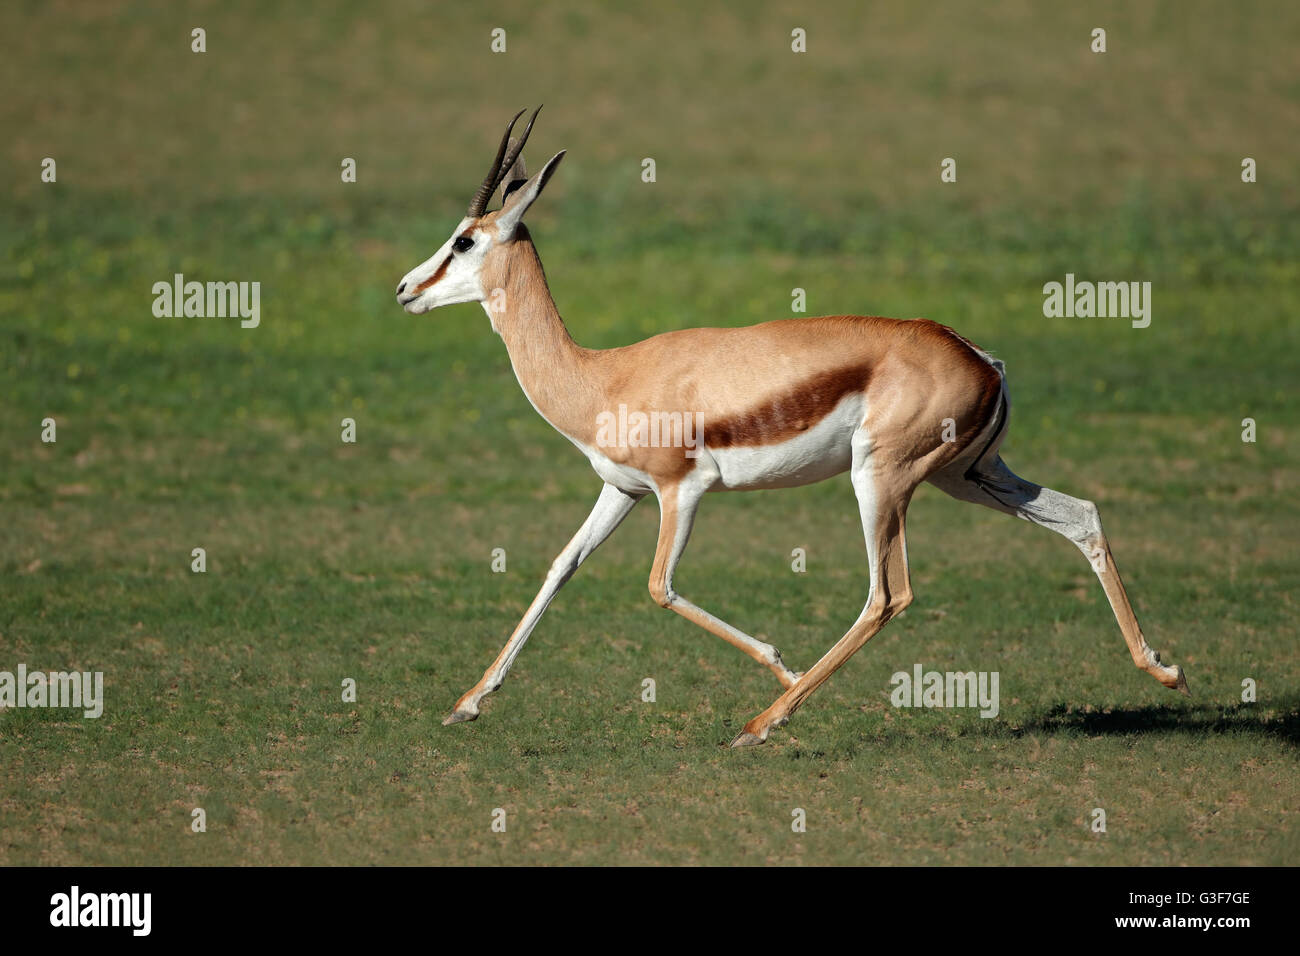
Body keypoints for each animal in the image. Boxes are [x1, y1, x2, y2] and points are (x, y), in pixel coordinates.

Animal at [395, 108, 1188, 747]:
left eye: (464, 241)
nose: (405, 289)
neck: (603, 376)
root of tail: (976, 353)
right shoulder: (622, 491)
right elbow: (561, 566)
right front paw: (467, 704)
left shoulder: (681, 491)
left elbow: (659, 587)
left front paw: (781, 669)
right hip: (970, 477)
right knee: (1081, 516)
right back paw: (1165, 671)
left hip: (882, 481)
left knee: (886, 595)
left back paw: (761, 725)